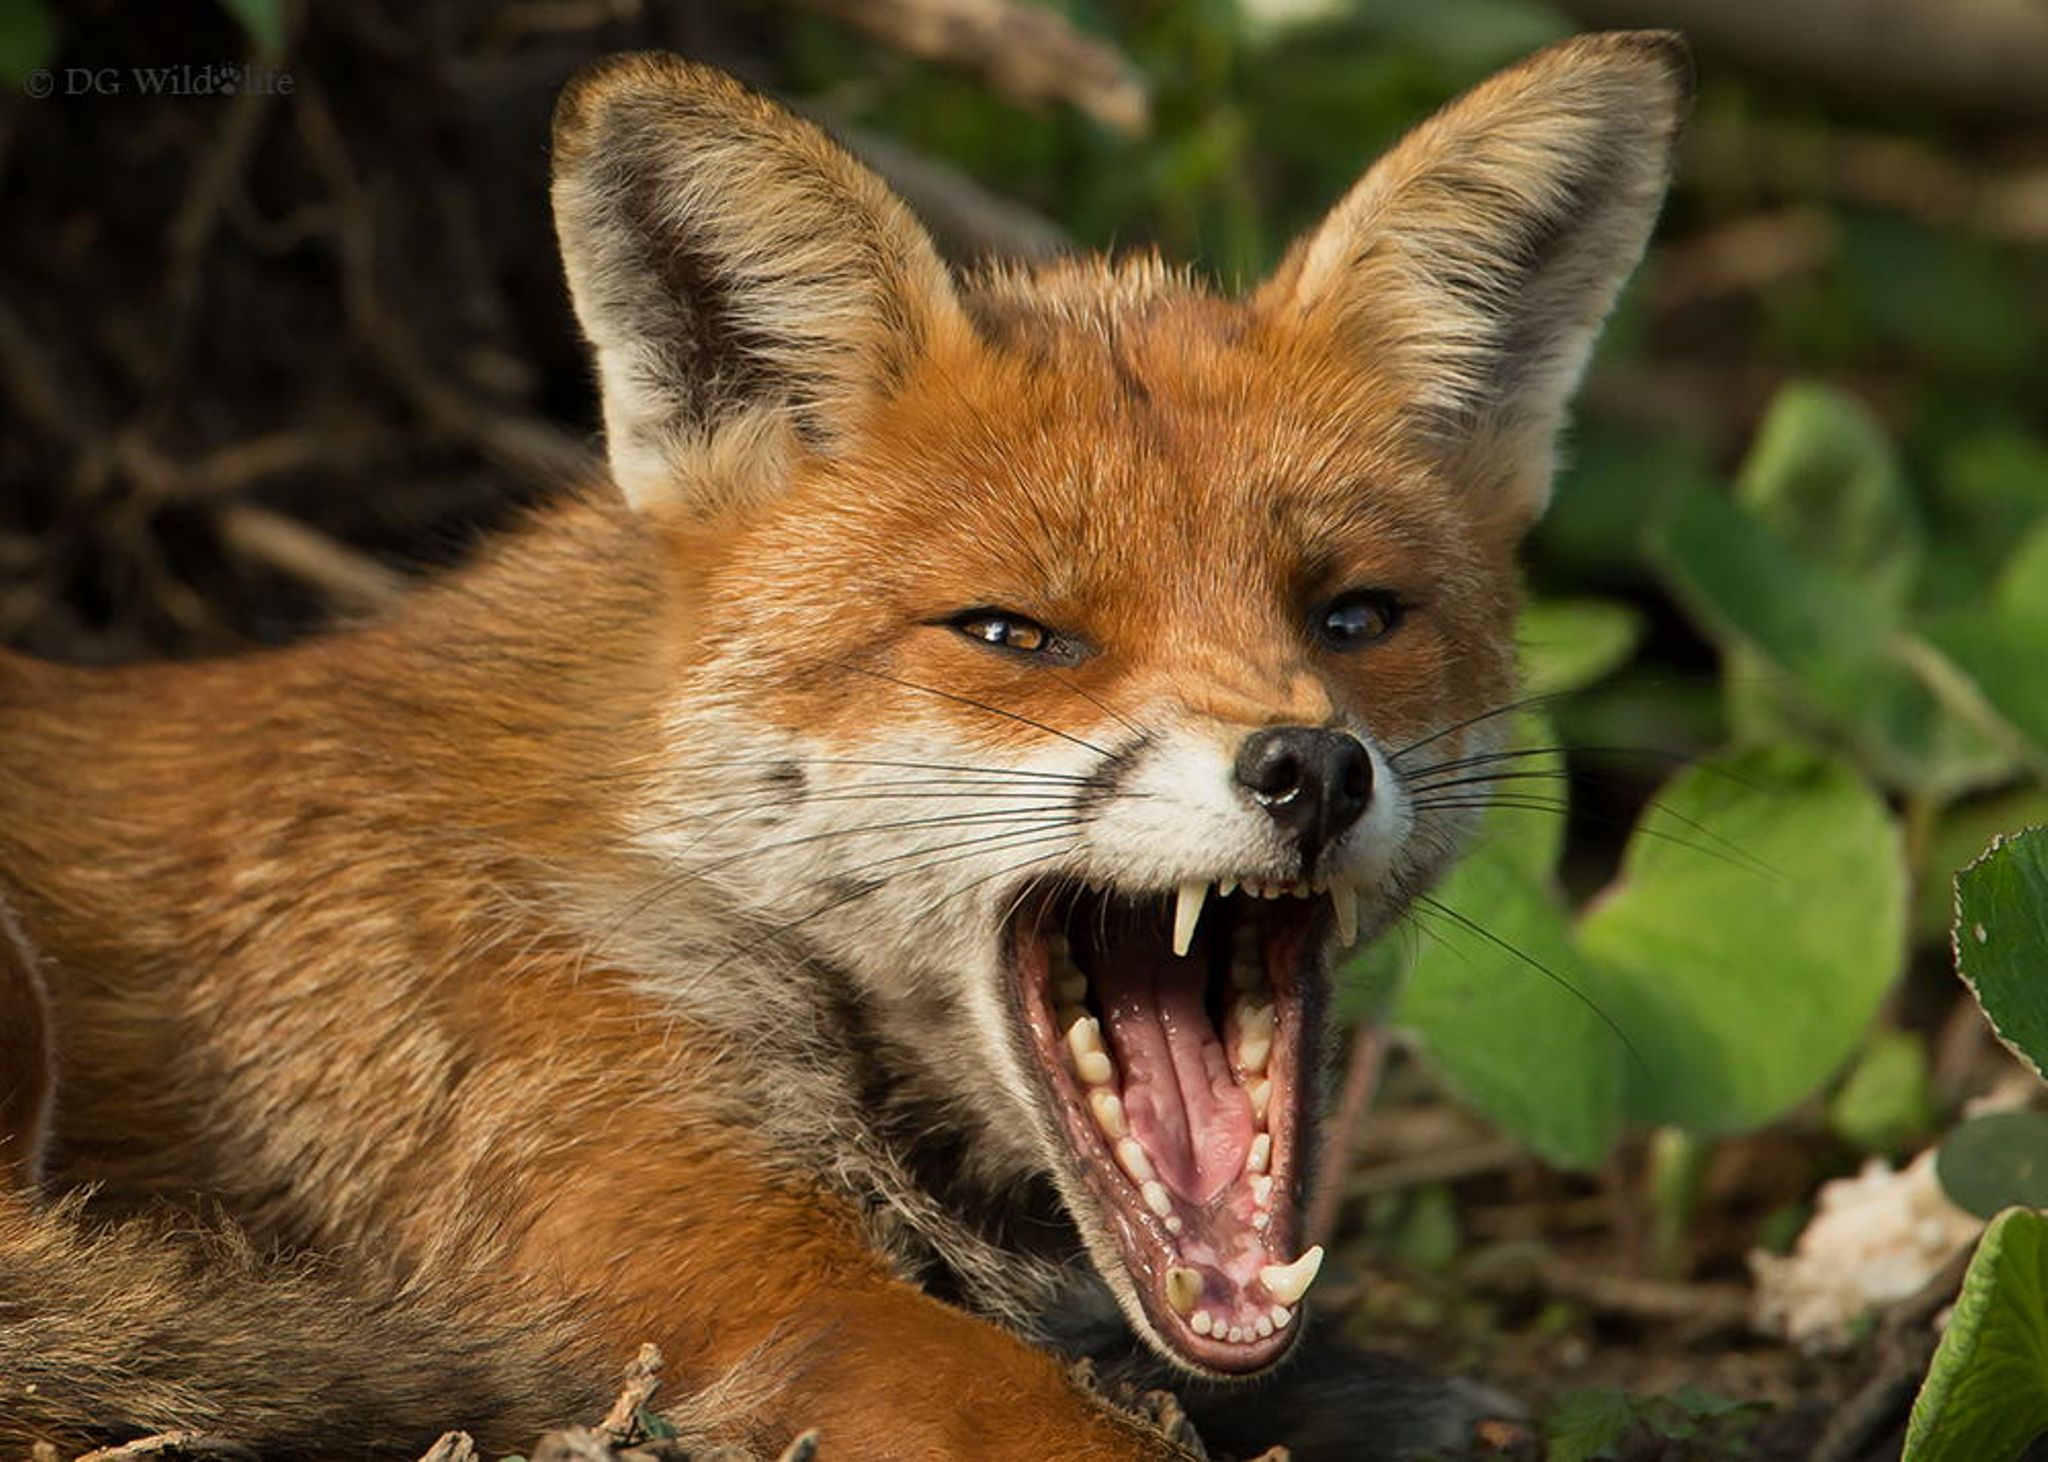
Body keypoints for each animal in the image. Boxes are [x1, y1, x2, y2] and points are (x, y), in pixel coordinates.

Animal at [0, 31, 1687, 1461]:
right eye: (1016, 632)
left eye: (1353, 615)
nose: (1311, 769)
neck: (666, 884)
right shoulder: (703, 1256)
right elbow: (1063, 1419)